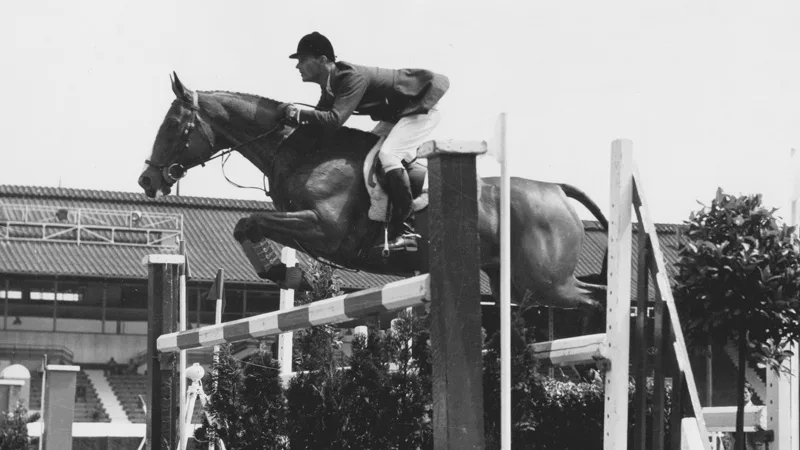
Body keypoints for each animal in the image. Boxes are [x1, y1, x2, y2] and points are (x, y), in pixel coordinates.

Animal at [138, 73, 609, 319]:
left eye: (173, 127)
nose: (146, 181)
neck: (305, 150)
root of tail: (555, 191)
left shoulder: (324, 230)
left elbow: (247, 221)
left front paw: (286, 275)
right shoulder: (306, 228)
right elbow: (249, 226)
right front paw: (286, 275)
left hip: (546, 282)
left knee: (595, 299)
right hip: (513, 282)